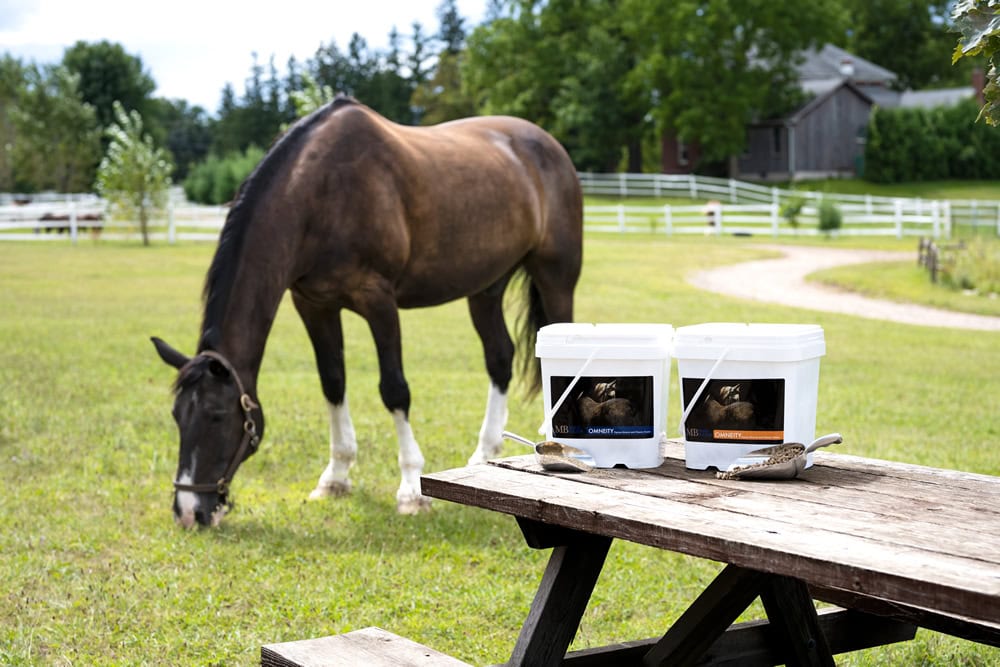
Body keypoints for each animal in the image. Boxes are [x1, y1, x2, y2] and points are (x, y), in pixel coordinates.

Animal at [151, 96, 583, 528]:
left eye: (216, 415)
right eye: (176, 416)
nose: (188, 511)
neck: (320, 194)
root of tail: (548, 146)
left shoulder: (378, 301)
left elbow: (394, 390)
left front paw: (411, 489)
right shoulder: (314, 305)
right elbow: (332, 382)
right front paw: (335, 477)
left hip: (555, 278)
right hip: (485, 287)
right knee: (499, 357)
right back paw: (483, 454)